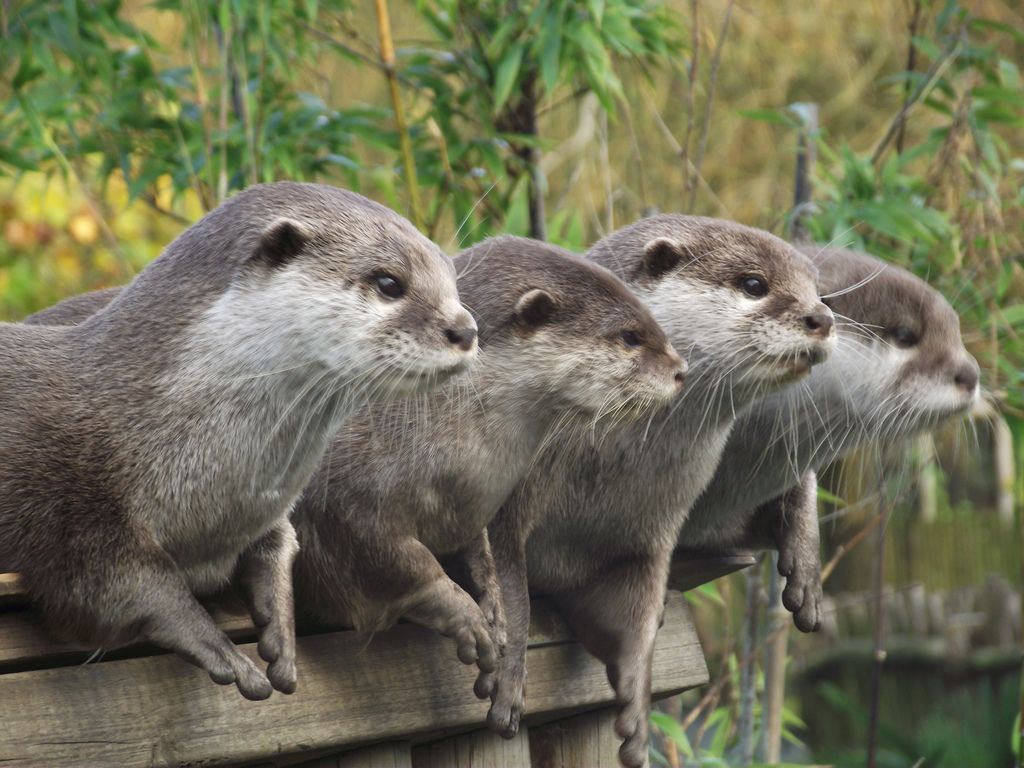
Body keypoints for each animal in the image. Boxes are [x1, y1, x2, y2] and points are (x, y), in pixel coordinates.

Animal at [3, 182, 476, 700]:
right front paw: (223, 651)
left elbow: (282, 540)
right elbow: (118, 590)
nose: (466, 329)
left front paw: (279, 627)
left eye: (452, 279)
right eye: (389, 282)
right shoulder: (77, 520)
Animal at [484, 216, 836, 768]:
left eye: (818, 290)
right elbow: (508, 590)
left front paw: (637, 708)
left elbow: (634, 611)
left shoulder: (650, 532)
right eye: (754, 284)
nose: (821, 316)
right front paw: (508, 678)